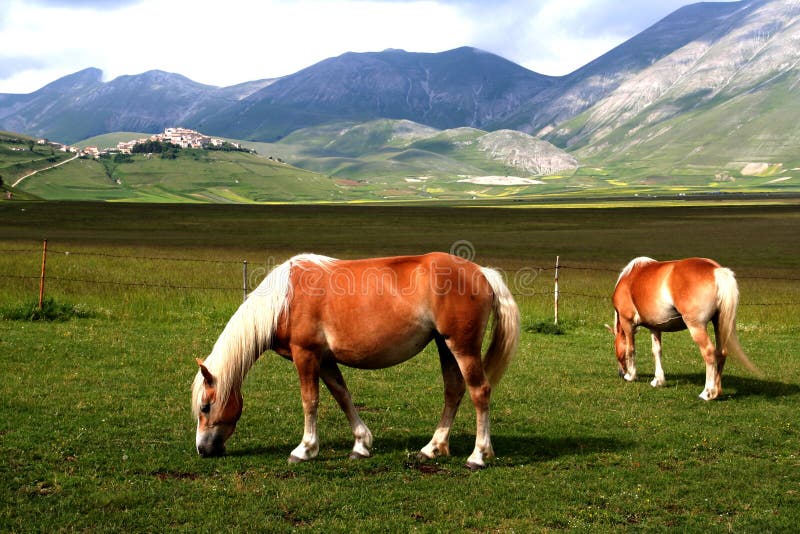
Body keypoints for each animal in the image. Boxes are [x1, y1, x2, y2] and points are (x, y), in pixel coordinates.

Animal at [192, 252, 520, 469]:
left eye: (206, 407)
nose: (202, 450)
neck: (284, 300)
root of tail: (481, 272)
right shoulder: (324, 359)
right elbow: (342, 396)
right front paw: (361, 445)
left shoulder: (305, 354)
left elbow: (310, 401)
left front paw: (304, 449)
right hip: (445, 345)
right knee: (453, 391)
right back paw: (432, 448)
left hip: (462, 347)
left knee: (480, 392)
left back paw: (478, 456)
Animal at [607, 257, 760, 400]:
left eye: (614, 346)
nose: (621, 373)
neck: (629, 279)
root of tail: (716, 269)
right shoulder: (655, 327)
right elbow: (656, 351)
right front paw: (658, 380)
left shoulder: (627, 323)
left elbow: (630, 349)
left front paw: (631, 376)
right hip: (718, 324)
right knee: (721, 352)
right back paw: (716, 391)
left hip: (696, 327)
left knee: (709, 353)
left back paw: (707, 393)